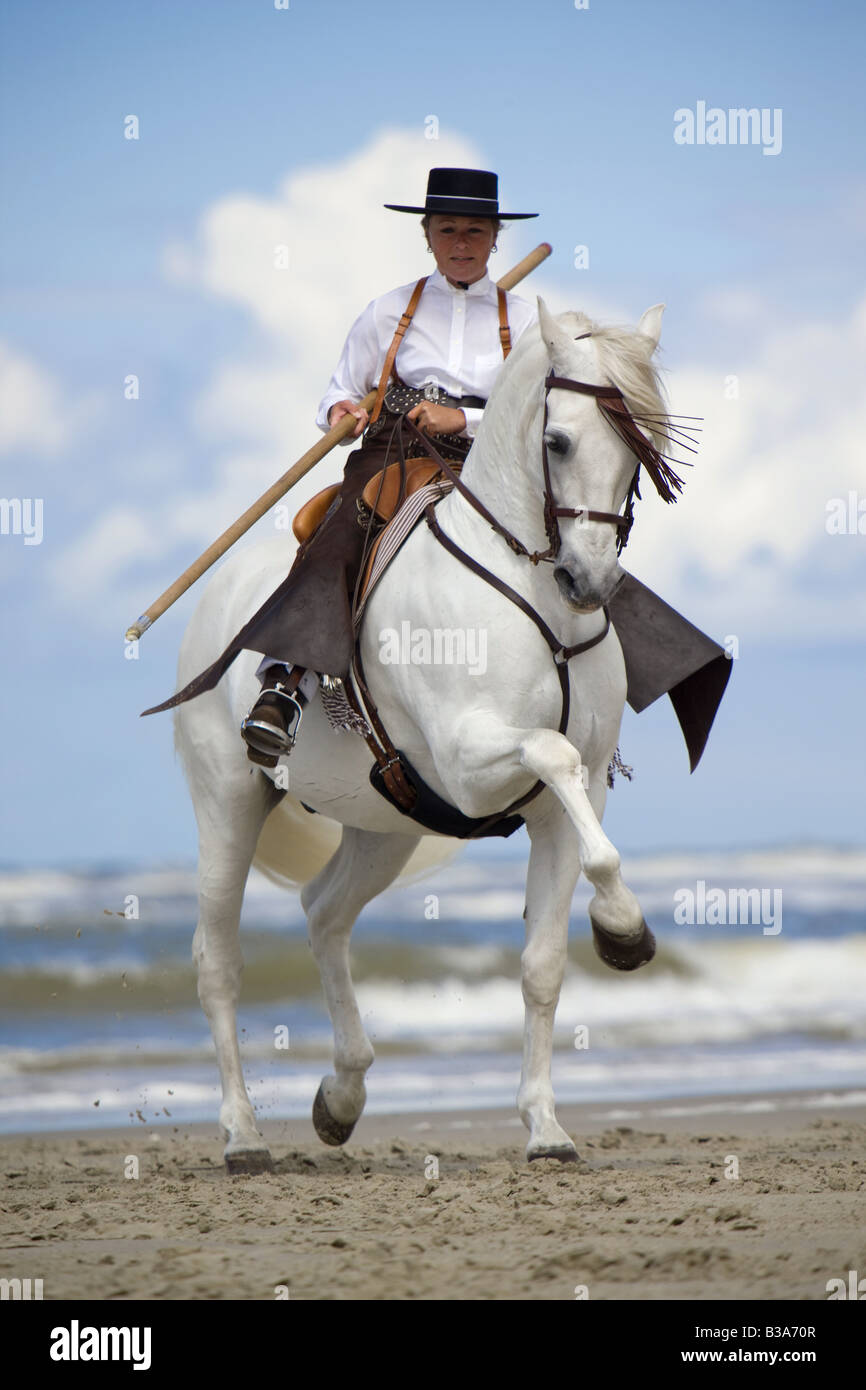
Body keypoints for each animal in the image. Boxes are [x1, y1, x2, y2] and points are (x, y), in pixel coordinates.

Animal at [173, 297, 680, 1172]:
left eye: (642, 449)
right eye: (558, 441)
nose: (589, 582)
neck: (527, 586)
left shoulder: (566, 800)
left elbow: (545, 963)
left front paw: (546, 1126)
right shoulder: (470, 760)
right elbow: (552, 751)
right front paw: (625, 928)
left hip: (386, 825)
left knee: (324, 913)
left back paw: (341, 1096)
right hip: (228, 803)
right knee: (219, 964)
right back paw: (242, 1136)